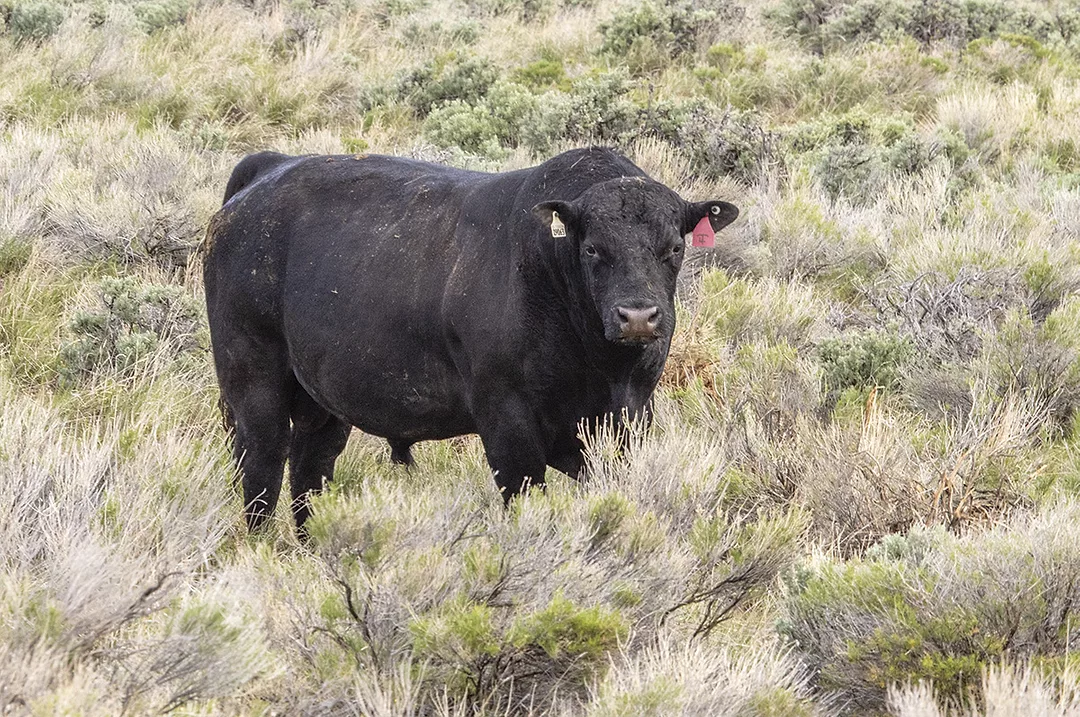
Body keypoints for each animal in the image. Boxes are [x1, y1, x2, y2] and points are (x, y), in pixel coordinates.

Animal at [203, 147, 738, 534]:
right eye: (591, 248)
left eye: (674, 247)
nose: (638, 317)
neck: (599, 364)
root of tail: (269, 168)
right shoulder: (507, 418)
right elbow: (523, 493)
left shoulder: (631, 414)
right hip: (252, 380)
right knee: (262, 466)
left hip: (324, 399)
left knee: (310, 469)